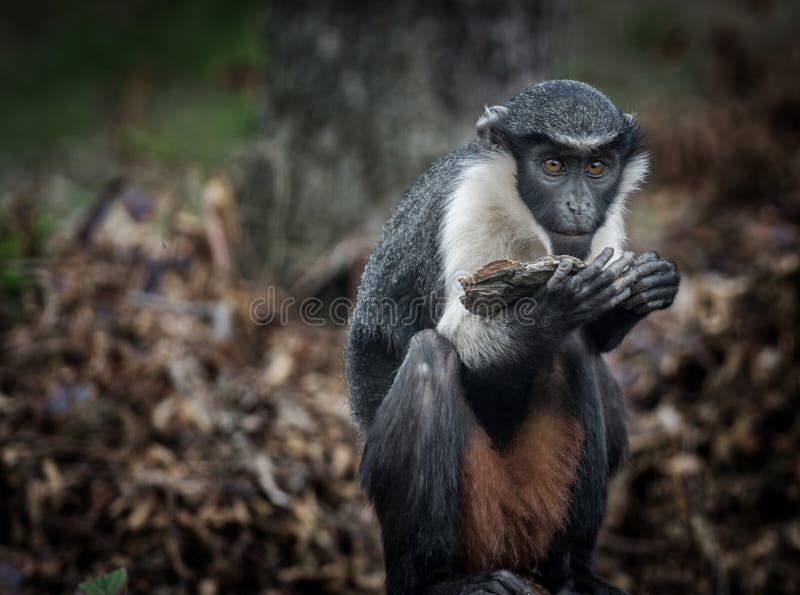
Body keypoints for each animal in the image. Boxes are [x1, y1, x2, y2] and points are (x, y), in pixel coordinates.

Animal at [345, 80, 679, 595]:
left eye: (597, 167)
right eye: (553, 165)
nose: (579, 206)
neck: (526, 224)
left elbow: (596, 337)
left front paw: (647, 286)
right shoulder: (466, 207)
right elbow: (462, 340)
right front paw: (556, 307)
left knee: (576, 353)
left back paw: (574, 572)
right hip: (473, 508)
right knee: (429, 356)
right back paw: (436, 581)